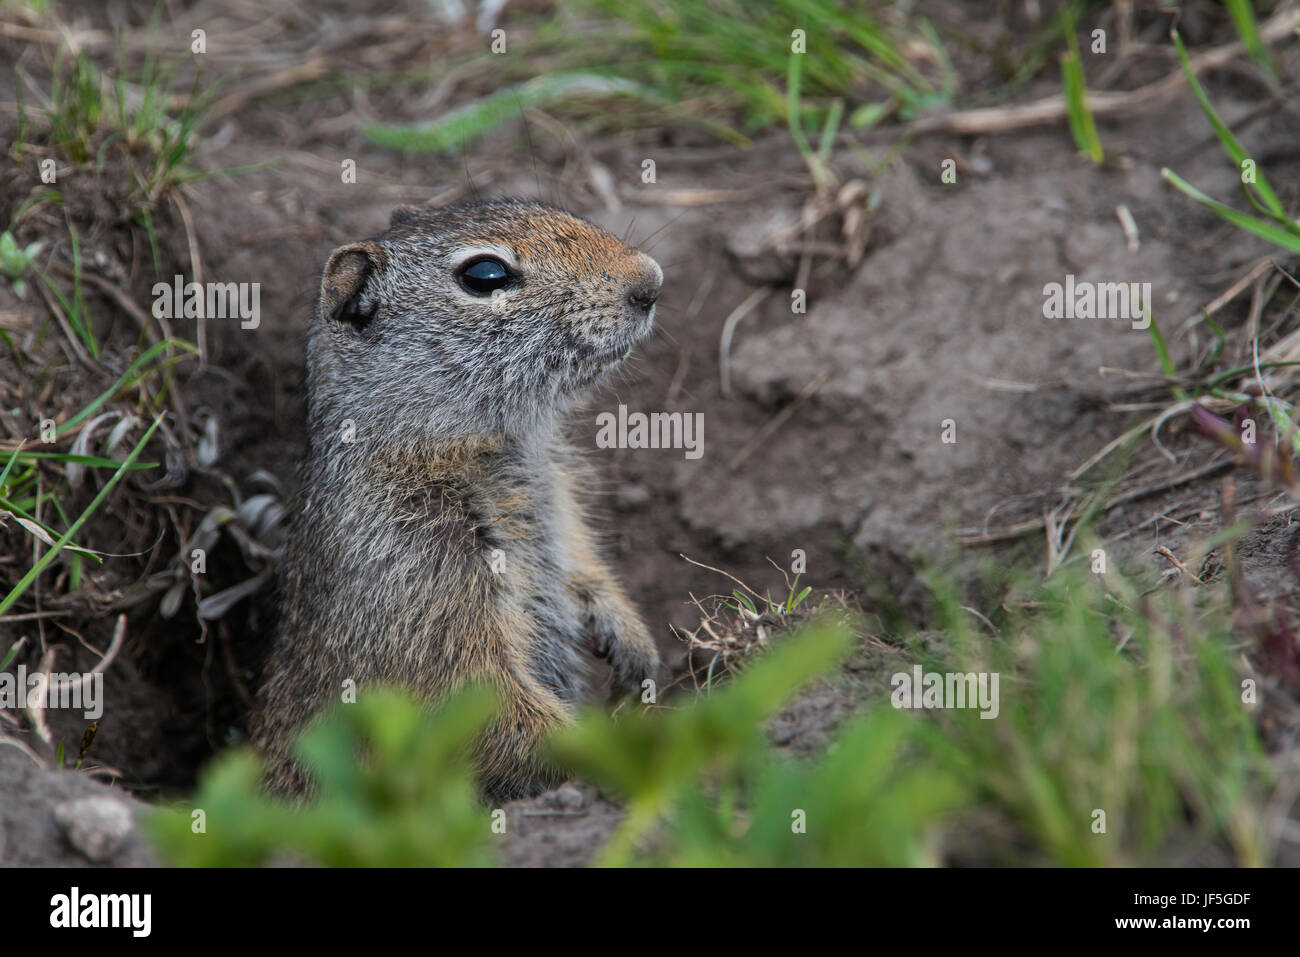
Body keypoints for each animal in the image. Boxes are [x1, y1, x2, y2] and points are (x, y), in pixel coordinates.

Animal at [248, 199, 663, 801]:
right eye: (484, 275)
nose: (650, 281)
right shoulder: (418, 578)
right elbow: (488, 706)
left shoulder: (558, 496)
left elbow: (582, 562)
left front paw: (633, 644)